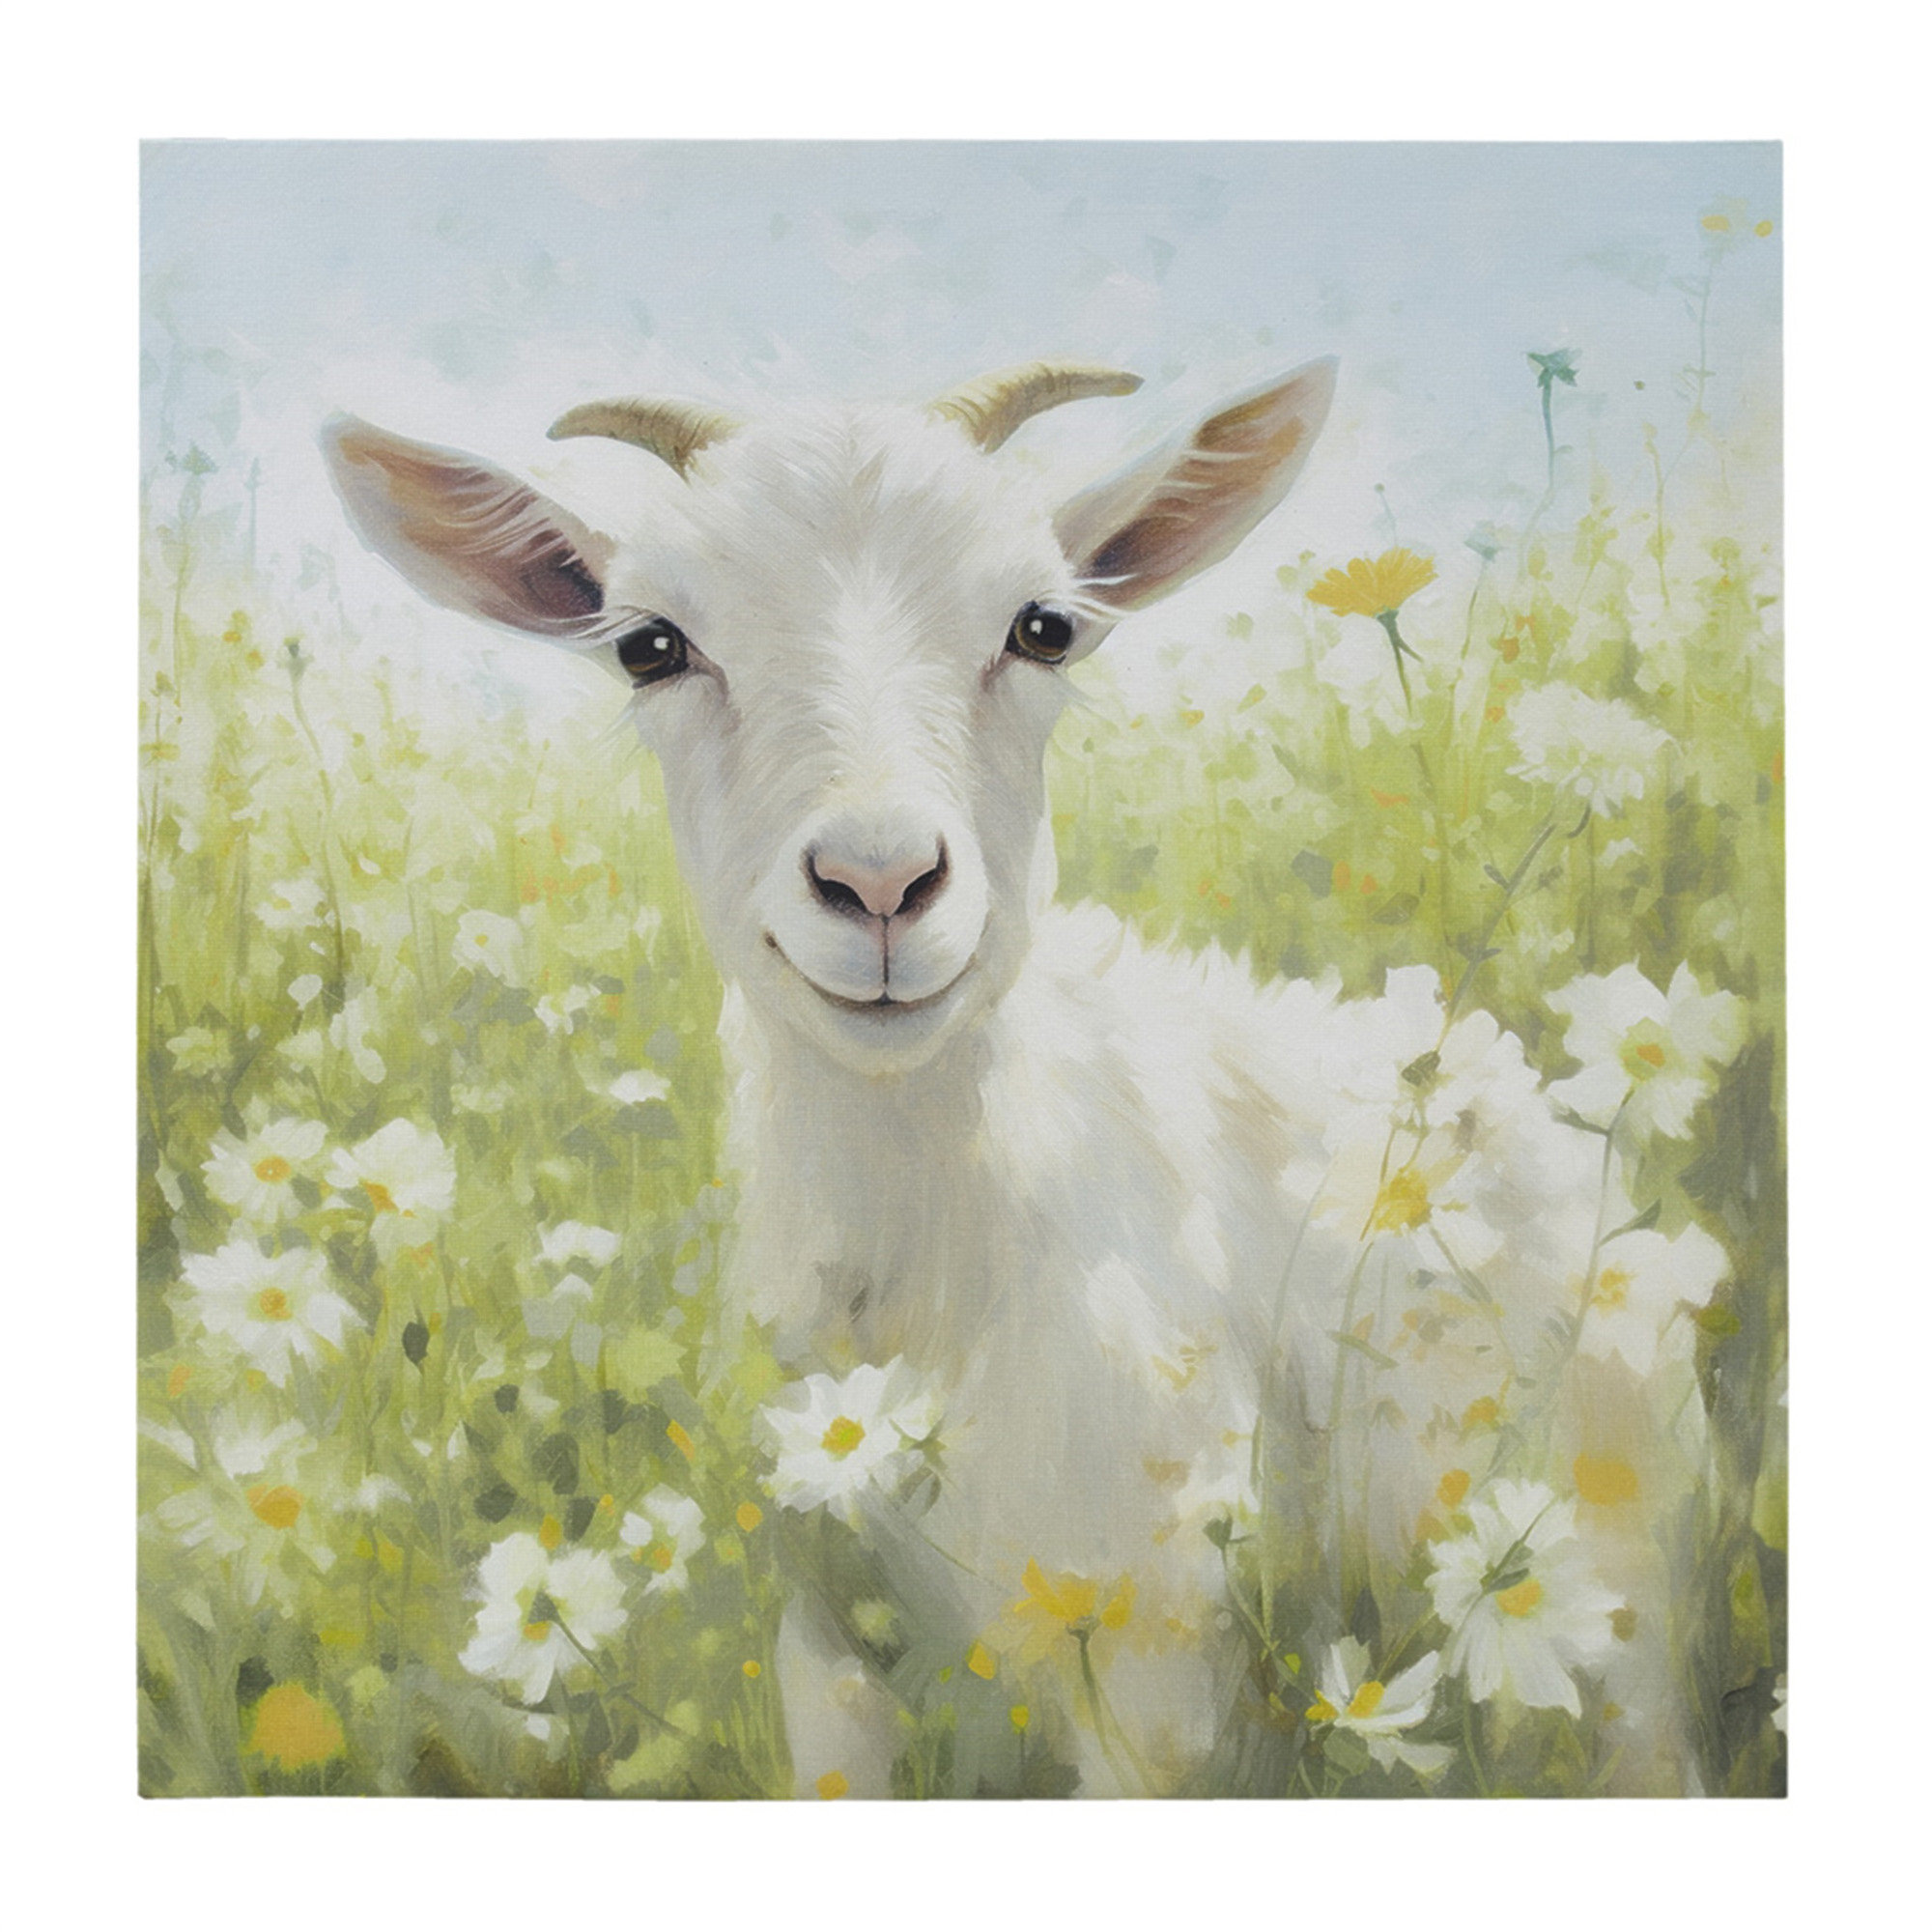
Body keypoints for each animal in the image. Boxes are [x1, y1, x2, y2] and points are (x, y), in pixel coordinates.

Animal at [323, 362, 1700, 1797]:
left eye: (1041, 626)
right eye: (649, 645)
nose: (879, 881)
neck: (917, 1284)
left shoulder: (1149, 1655)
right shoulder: (823, 1634)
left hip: (1619, 1582)